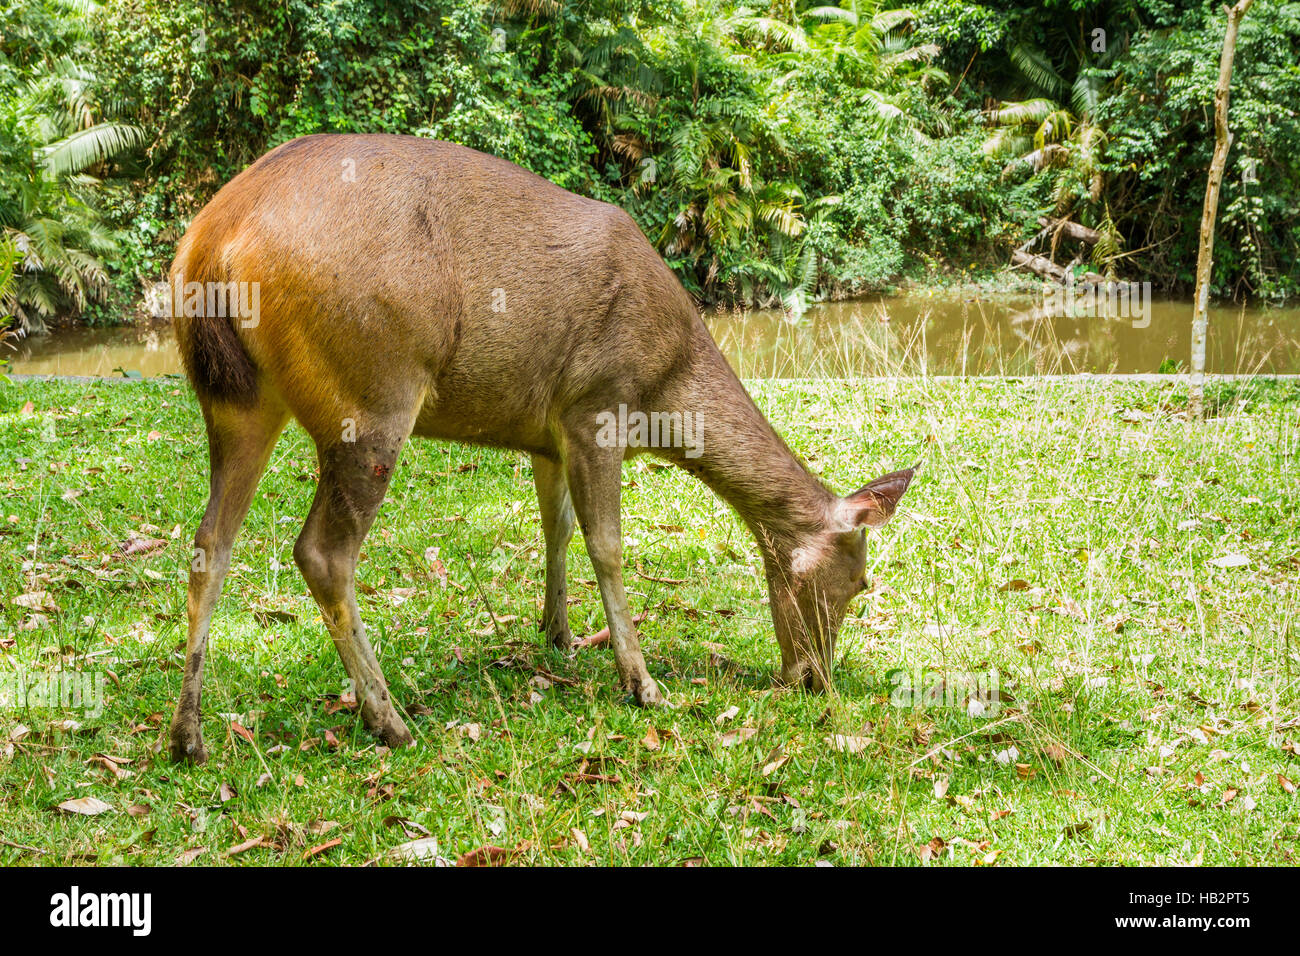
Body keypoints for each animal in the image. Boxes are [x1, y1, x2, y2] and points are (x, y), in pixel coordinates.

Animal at [167, 133, 915, 763]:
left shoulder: (546, 431)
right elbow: (606, 544)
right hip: (371, 391)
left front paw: (557, 633)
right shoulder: (595, 405)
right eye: (860, 582)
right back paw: (387, 718)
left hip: (236, 399)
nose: (814, 677)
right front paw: (640, 681)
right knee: (322, 552)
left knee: (210, 543)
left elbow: (554, 525)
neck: (668, 391)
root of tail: (211, 240)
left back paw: (189, 736)